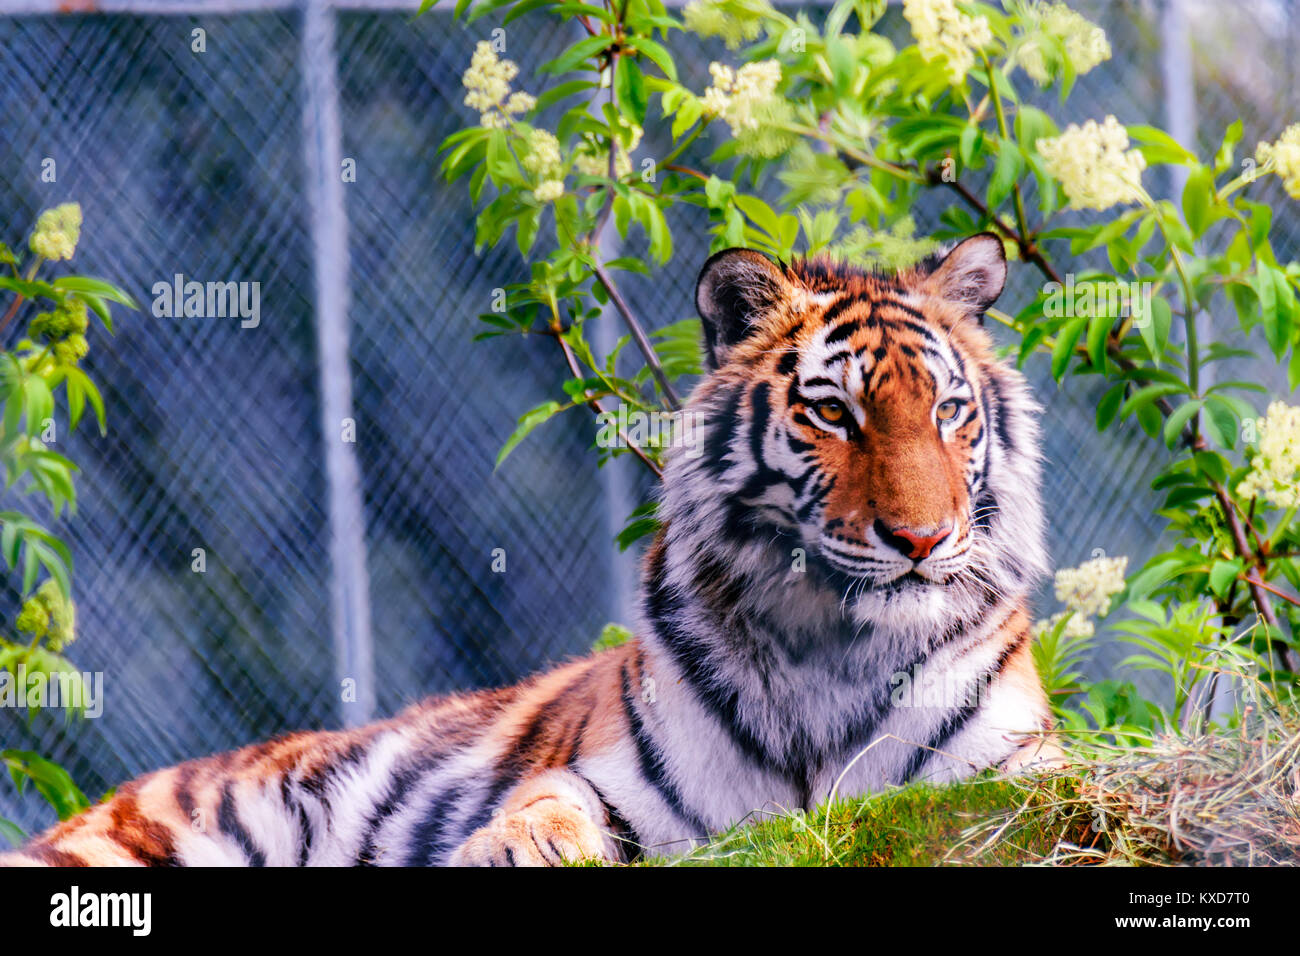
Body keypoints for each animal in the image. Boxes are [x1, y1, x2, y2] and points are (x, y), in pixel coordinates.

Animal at [0, 232, 1057, 867]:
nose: (922, 538)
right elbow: (548, 800)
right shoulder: (610, 773)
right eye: (834, 414)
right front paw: (510, 848)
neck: (831, 649)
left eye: (948, 411)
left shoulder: (1015, 767)